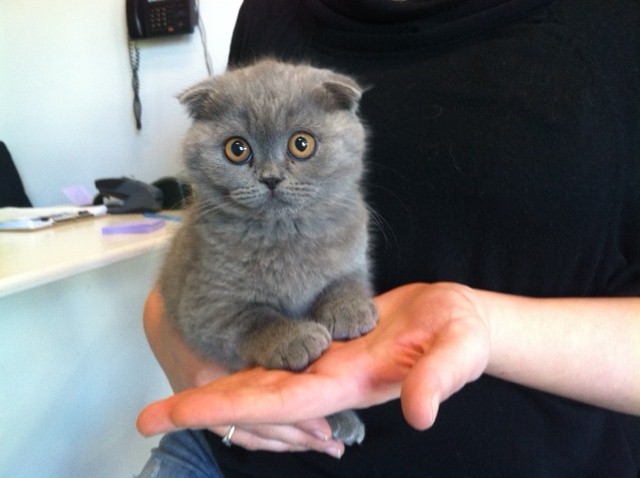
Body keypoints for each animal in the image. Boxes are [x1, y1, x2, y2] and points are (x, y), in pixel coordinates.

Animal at [159, 58, 378, 444]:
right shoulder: (204, 306)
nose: (271, 178)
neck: (284, 234)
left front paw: (348, 310)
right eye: (237, 149)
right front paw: (294, 339)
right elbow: (255, 318)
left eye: (302, 144)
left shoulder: (354, 253)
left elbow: (346, 281)